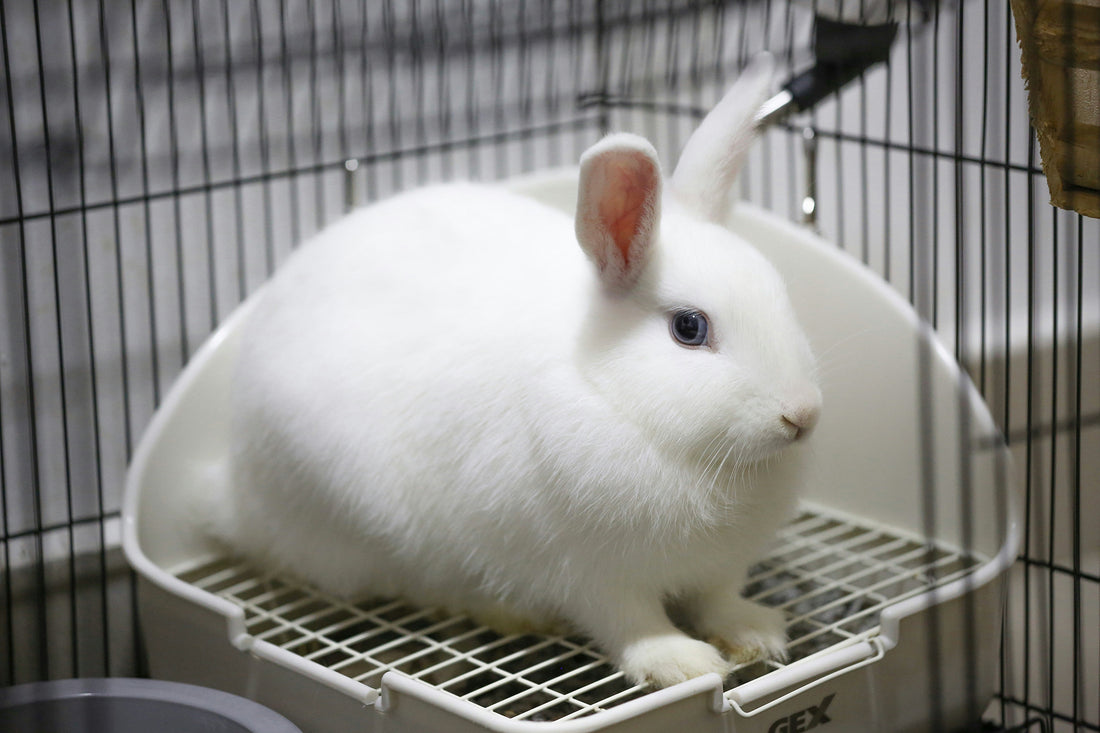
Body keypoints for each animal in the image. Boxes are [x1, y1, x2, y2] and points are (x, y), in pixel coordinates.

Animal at [213, 56, 822, 689]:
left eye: (780, 294)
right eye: (689, 328)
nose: (802, 415)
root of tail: (233, 494)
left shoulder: (718, 567)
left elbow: (717, 600)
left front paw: (756, 633)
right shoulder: (589, 573)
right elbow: (631, 624)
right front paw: (679, 663)